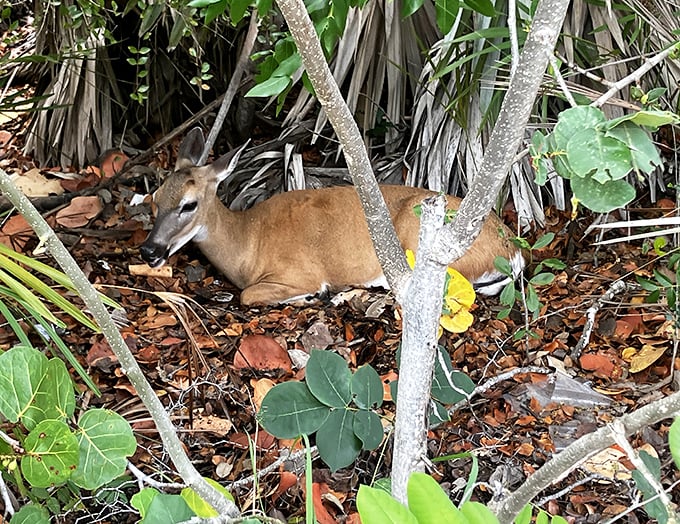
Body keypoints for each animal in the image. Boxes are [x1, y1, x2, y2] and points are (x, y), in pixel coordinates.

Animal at [140, 128, 526, 306]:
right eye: (154, 198)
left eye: (189, 204)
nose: (149, 250)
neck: (248, 243)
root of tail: (513, 250)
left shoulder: (298, 272)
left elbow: (248, 295)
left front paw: (311, 297)